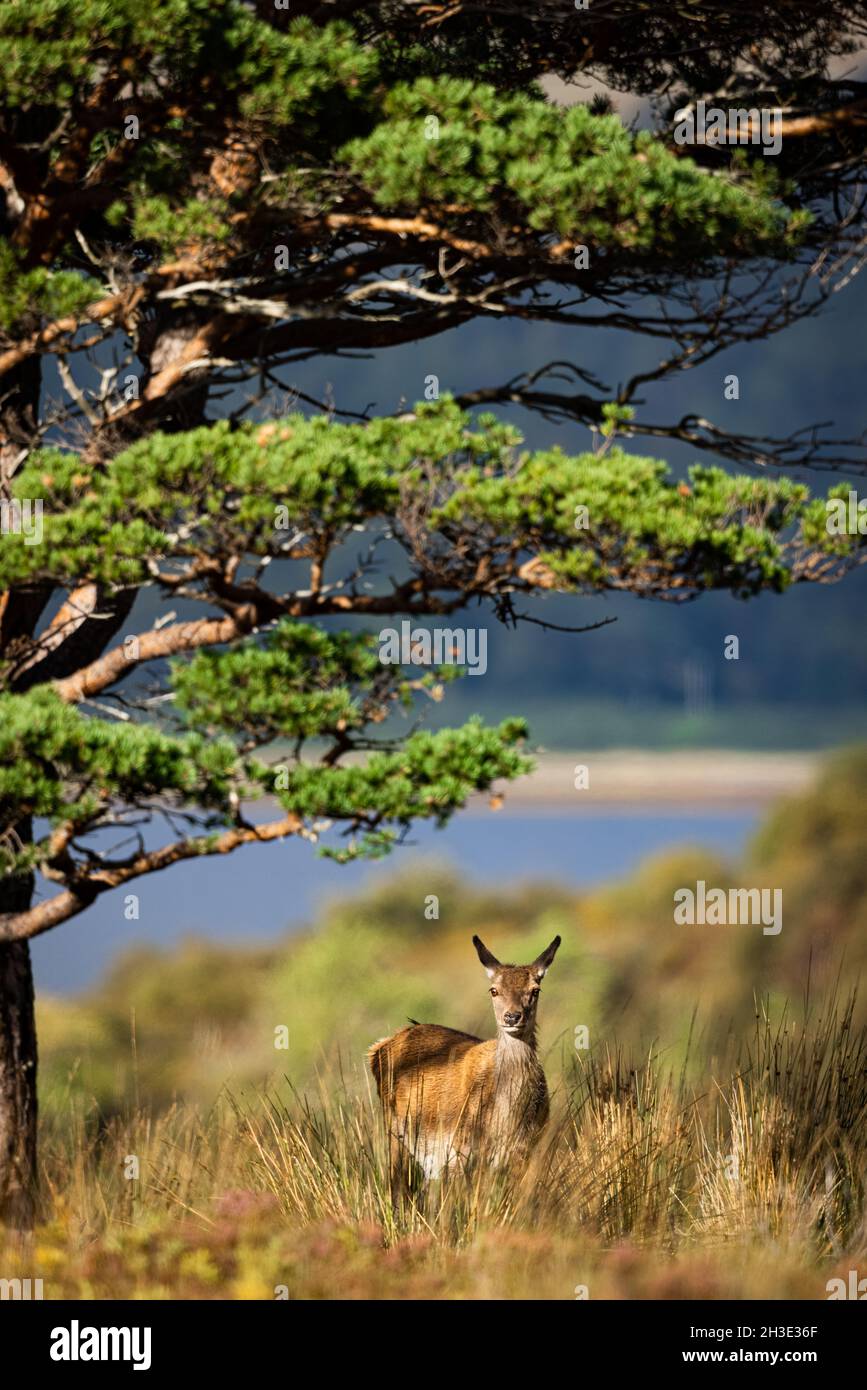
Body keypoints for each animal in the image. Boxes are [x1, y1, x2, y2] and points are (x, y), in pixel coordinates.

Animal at [368, 933, 561, 1193]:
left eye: (535, 990)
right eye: (493, 990)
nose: (512, 1016)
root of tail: (378, 1047)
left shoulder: (526, 1153)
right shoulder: (460, 1154)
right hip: (396, 1134)